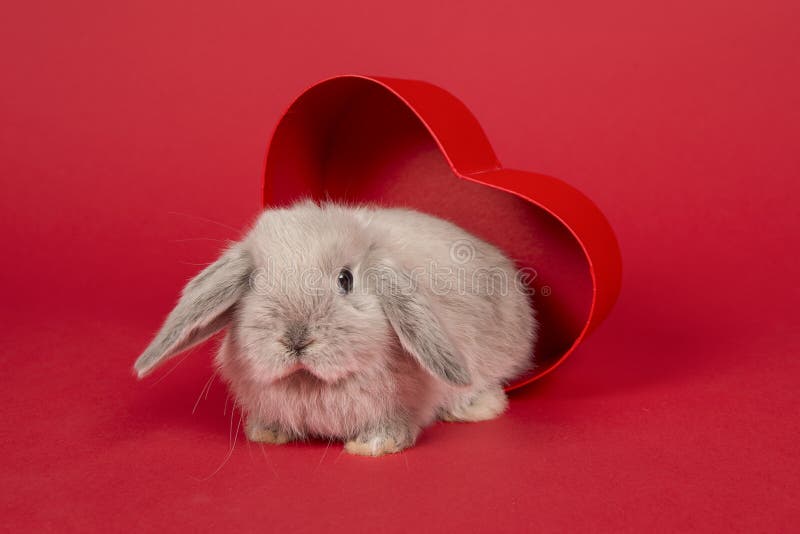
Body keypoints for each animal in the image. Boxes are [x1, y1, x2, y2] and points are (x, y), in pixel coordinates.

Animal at [134, 200, 537, 456]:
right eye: (256, 281)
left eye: (346, 280)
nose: (296, 340)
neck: (312, 384)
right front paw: (266, 432)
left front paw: (372, 446)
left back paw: (474, 407)